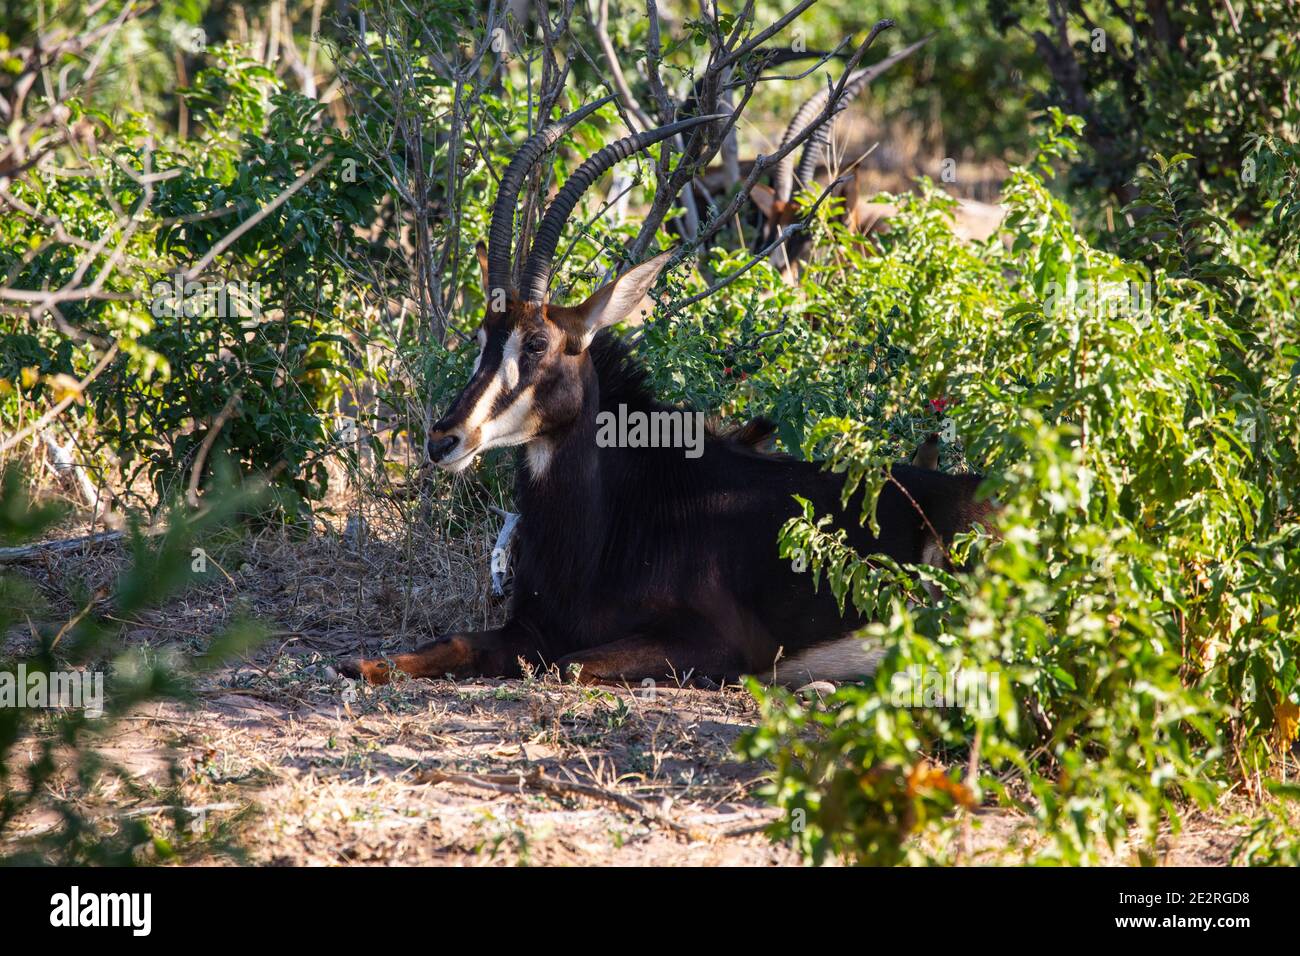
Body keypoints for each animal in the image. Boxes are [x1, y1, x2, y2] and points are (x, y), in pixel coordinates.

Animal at [342, 102, 994, 688]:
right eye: (482, 338)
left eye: (538, 343)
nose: (444, 439)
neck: (612, 521)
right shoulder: (529, 627)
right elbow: (455, 641)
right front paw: (362, 664)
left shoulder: (722, 644)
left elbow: (567, 664)